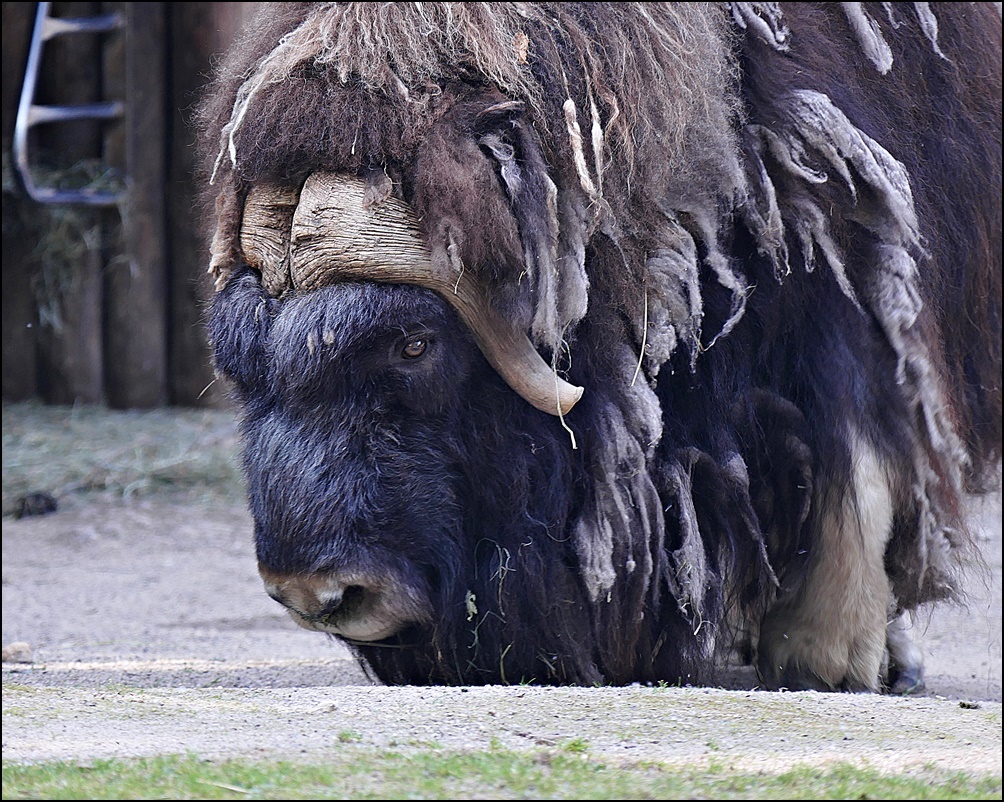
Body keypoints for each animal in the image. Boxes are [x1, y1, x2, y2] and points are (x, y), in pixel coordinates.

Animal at [198, 2, 1002, 691]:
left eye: (415, 345)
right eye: (238, 350)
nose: (314, 592)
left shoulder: (846, 249)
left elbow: (858, 443)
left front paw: (826, 656)